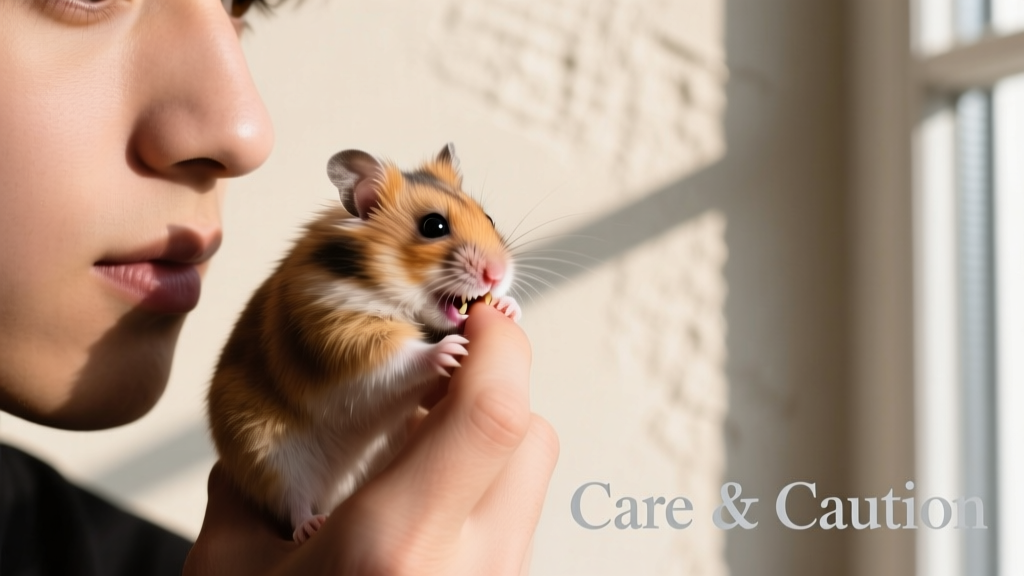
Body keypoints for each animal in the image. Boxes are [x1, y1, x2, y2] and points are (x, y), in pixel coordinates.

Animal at [207, 143, 521, 543]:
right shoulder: (339, 333)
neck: (387, 291)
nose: (497, 276)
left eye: (490, 218)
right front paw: (452, 350)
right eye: (433, 226)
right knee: (294, 501)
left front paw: (508, 308)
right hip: (264, 450)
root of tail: (334, 492)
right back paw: (311, 527)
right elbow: (395, 357)